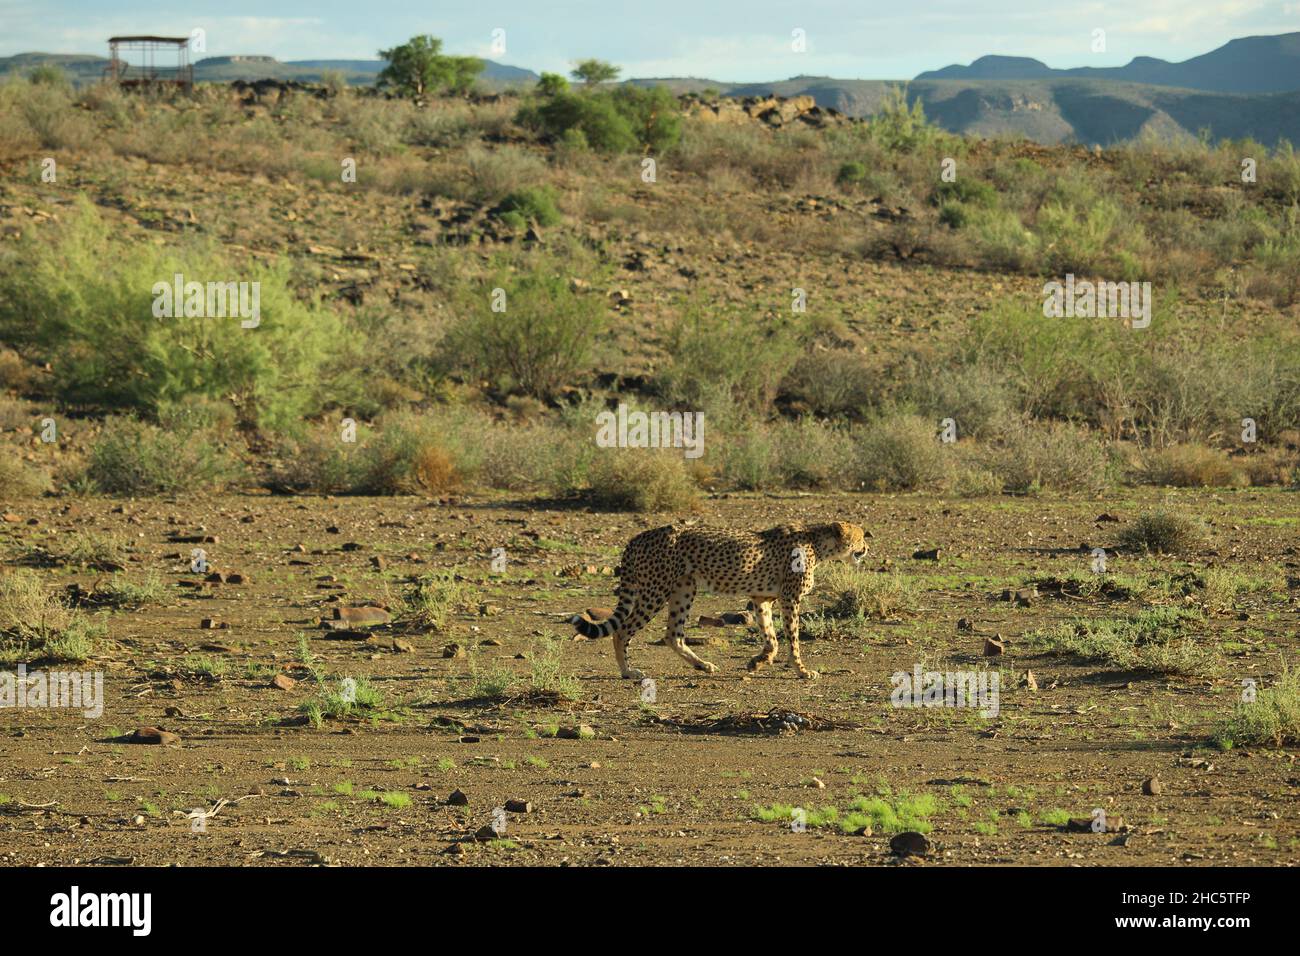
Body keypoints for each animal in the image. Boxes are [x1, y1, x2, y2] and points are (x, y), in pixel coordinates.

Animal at [571, 521, 870, 681]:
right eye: (859, 536)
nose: (867, 548)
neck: (818, 543)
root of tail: (637, 537)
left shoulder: (762, 599)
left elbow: (771, 639)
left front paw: (756, 662)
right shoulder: (789, 598)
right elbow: (792, 639)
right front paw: (802, 670)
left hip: (683, 590)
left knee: (673, 634)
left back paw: (702, 665)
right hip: (656, 590)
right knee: (623, 630)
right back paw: (628, 671)